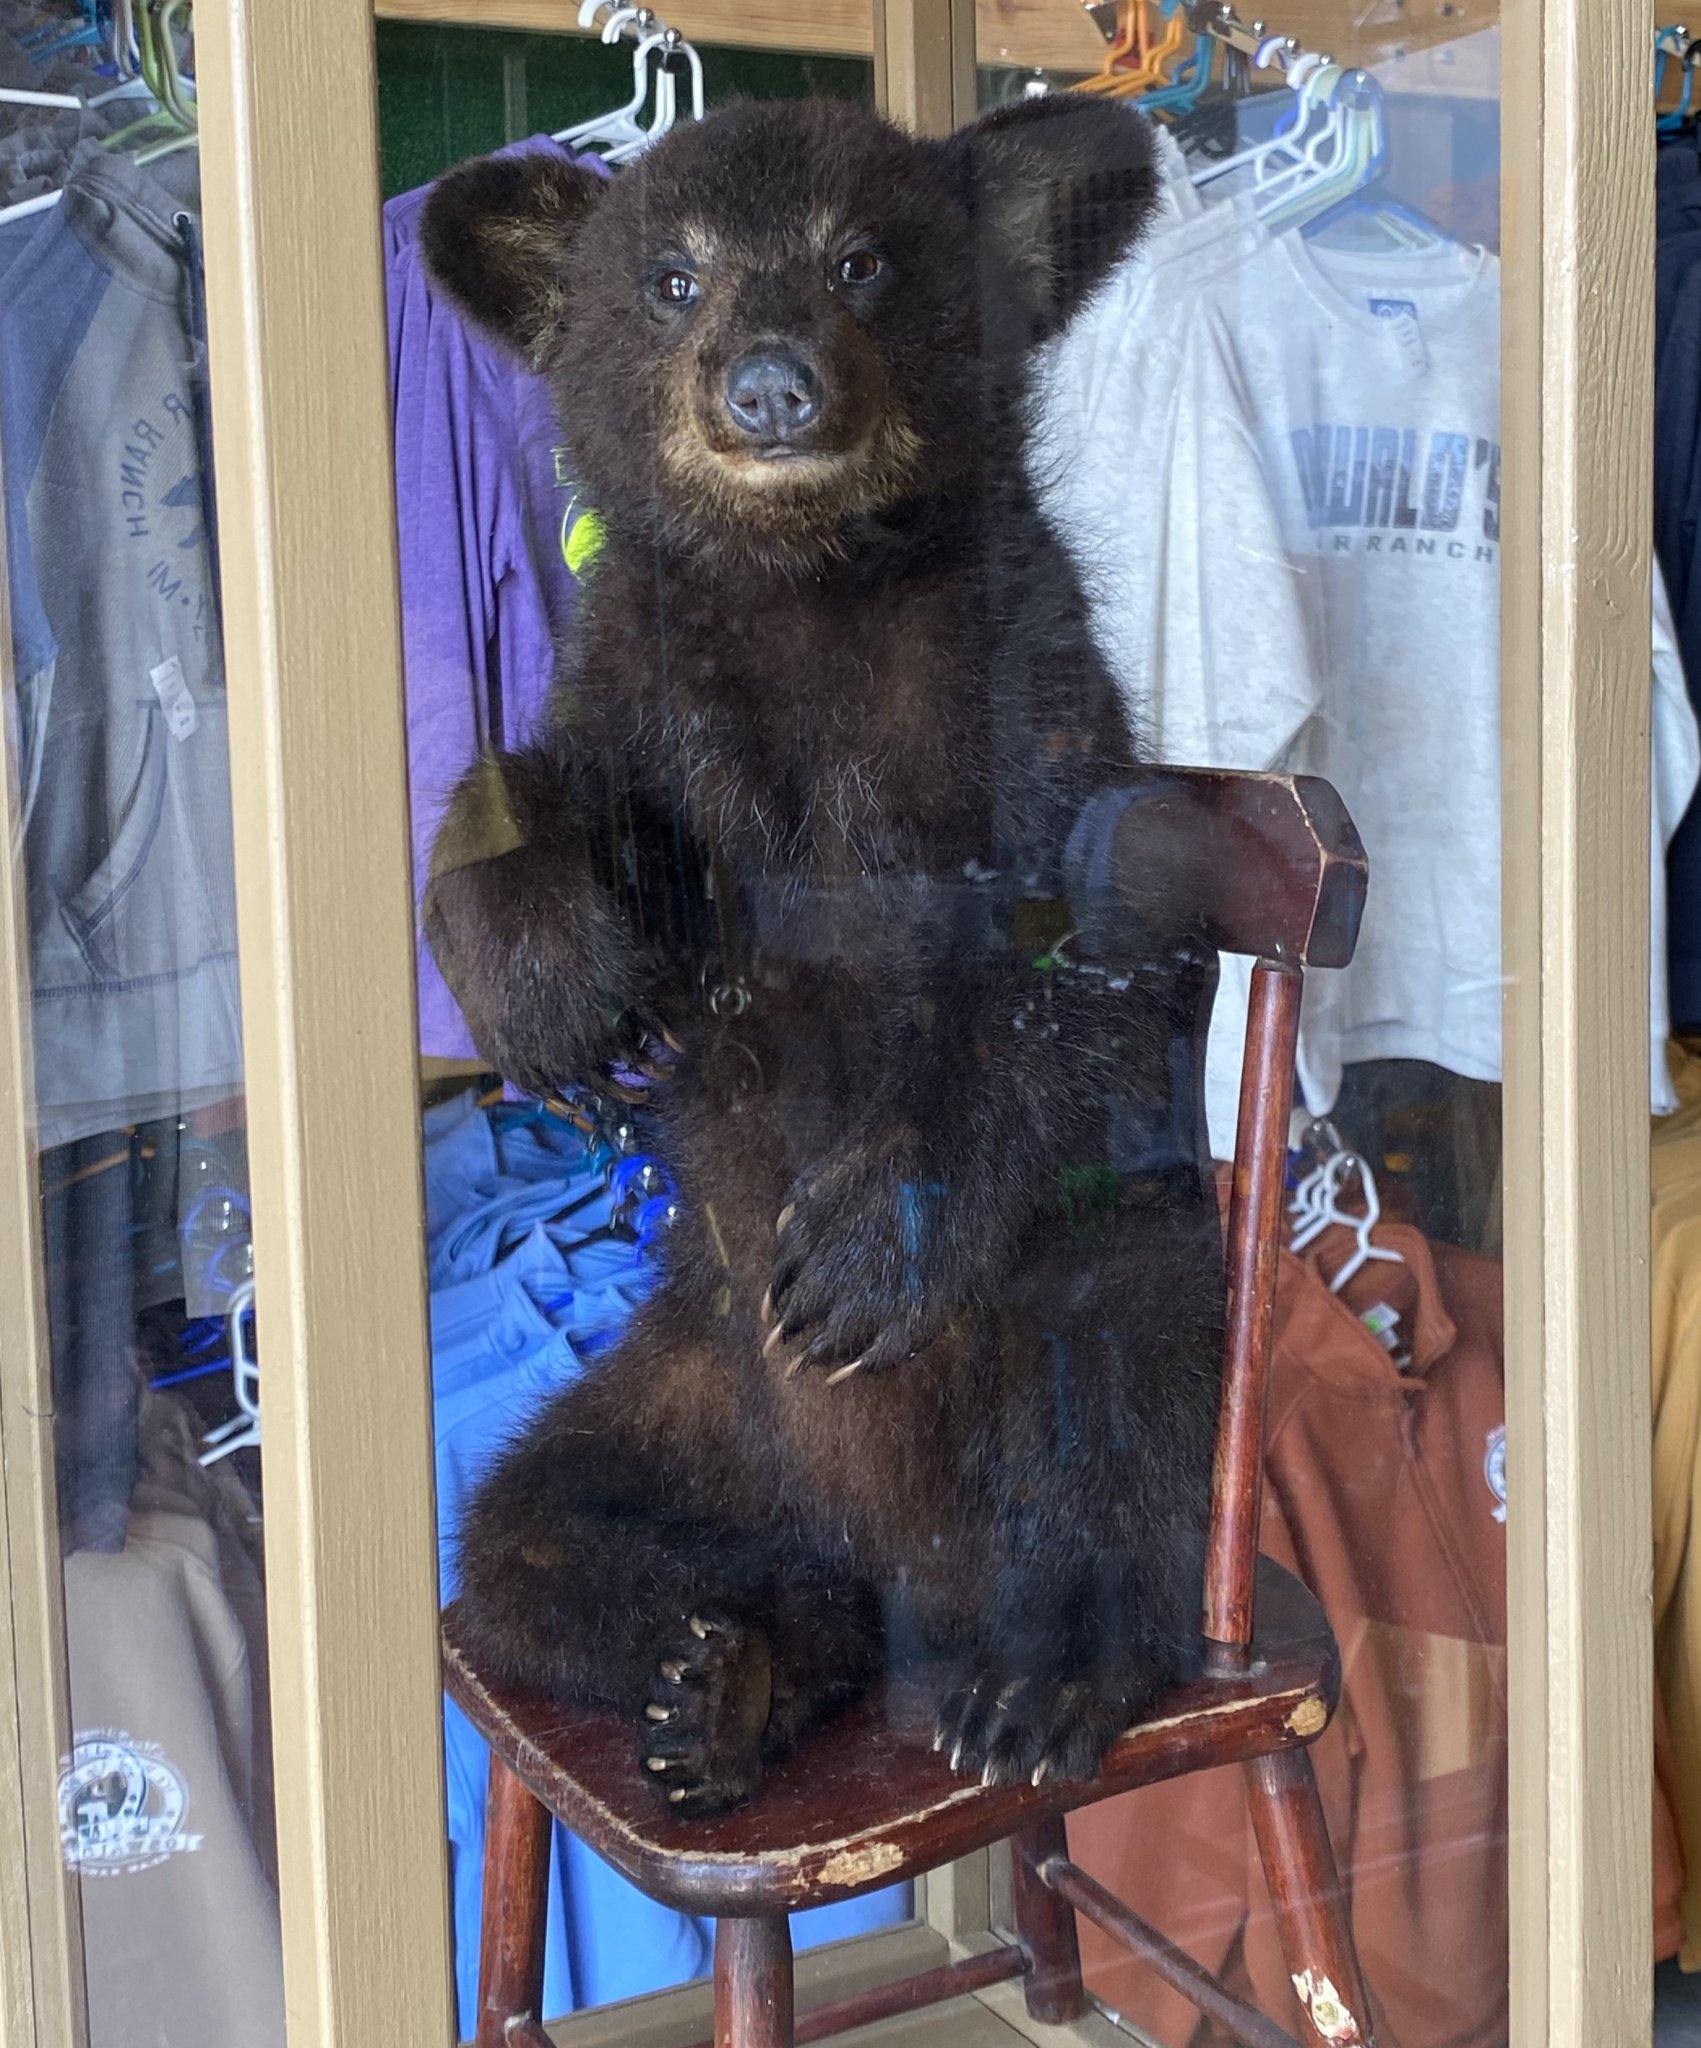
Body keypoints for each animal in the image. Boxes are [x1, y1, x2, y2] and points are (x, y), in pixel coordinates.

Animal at [418, 91, 1226, 1817]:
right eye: (670, 279)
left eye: (863, 259)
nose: (770, 385)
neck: (805, 576)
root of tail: (903, 1559)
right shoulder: (649, 689)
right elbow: (532, 790)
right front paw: (558, 998)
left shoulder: (1014, 687)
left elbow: (1067, 961)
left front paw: (864, 1250)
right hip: (689, 1381)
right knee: (528, 1536)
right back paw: (726, 1679)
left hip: (1087, 1273)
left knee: (1129, 1401)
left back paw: (1038, 1681)